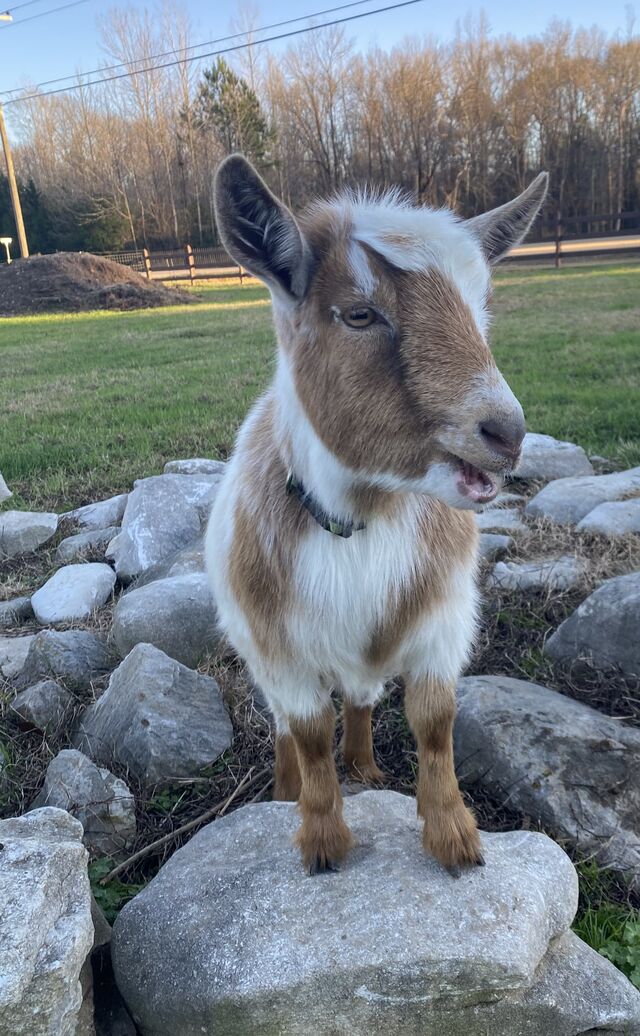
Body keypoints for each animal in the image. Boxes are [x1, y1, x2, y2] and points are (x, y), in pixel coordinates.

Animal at [206, 156, 547, 875]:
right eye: (360, 314)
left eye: (481, 307)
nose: (506, 433)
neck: (363, 518)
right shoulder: (277, 644)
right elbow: (309, 732)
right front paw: (321, 841)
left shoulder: (443, 619)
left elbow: (435, 720)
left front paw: (455, 839)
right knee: (285, 725)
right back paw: (285, 788)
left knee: (361, 699)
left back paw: (365, 768)